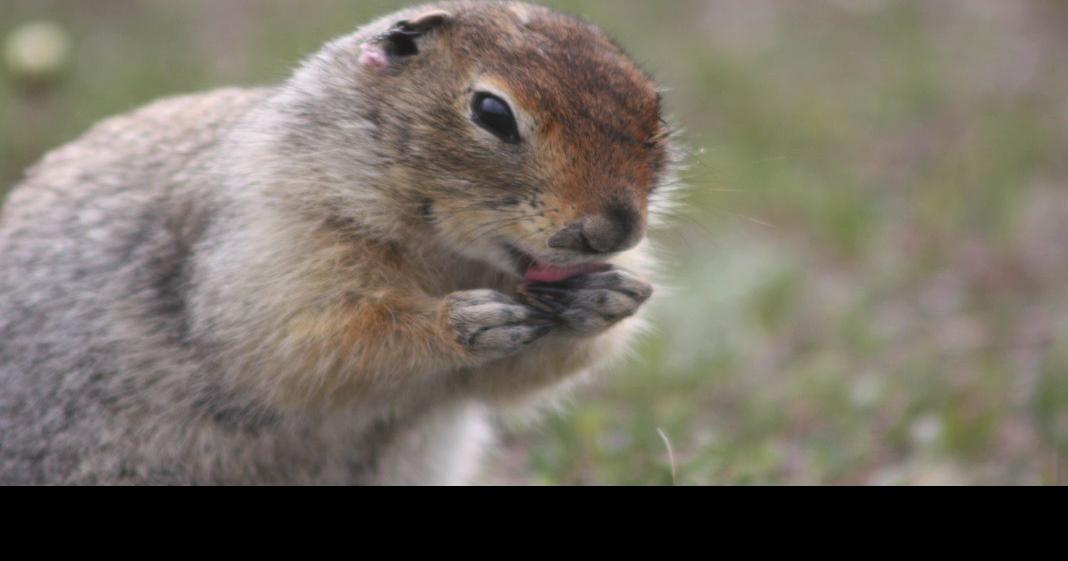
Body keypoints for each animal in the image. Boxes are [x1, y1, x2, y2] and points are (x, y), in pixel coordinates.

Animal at [0, 1, 678, 485]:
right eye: (492, 112)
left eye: (654, 111)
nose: (616, 231)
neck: (445, 256)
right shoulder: (277, 237)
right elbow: (310, 340)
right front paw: (467, 321)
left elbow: (505, 381)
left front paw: (609, 298)